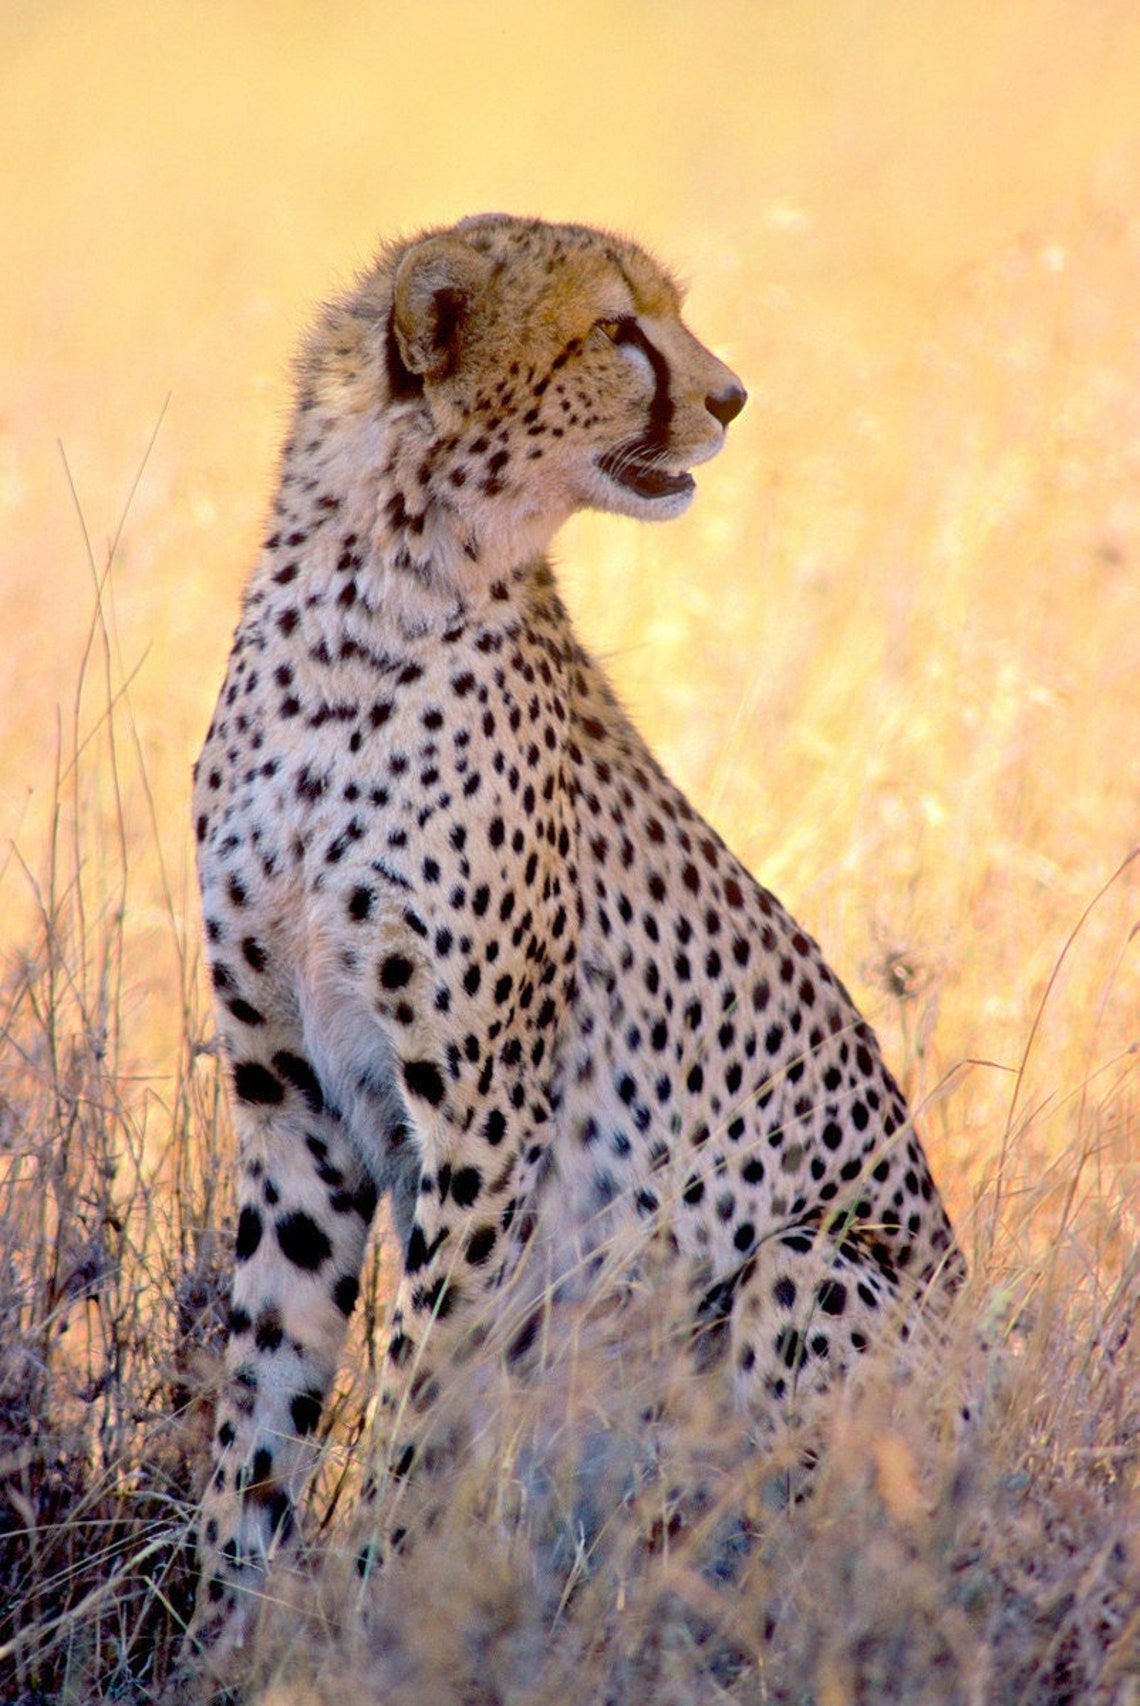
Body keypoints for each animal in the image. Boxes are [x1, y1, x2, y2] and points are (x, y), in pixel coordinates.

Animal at [186, 213, 962, 1674]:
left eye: (669, 317)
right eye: (616, 330)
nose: (733, 398)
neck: (378, 588)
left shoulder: (486, 1123)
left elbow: (422, 1404)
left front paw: (373, 1622)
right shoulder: (292, 1100)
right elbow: (263, 1397)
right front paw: (215, 1629)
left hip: (816, 1264)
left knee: (809, 1556)